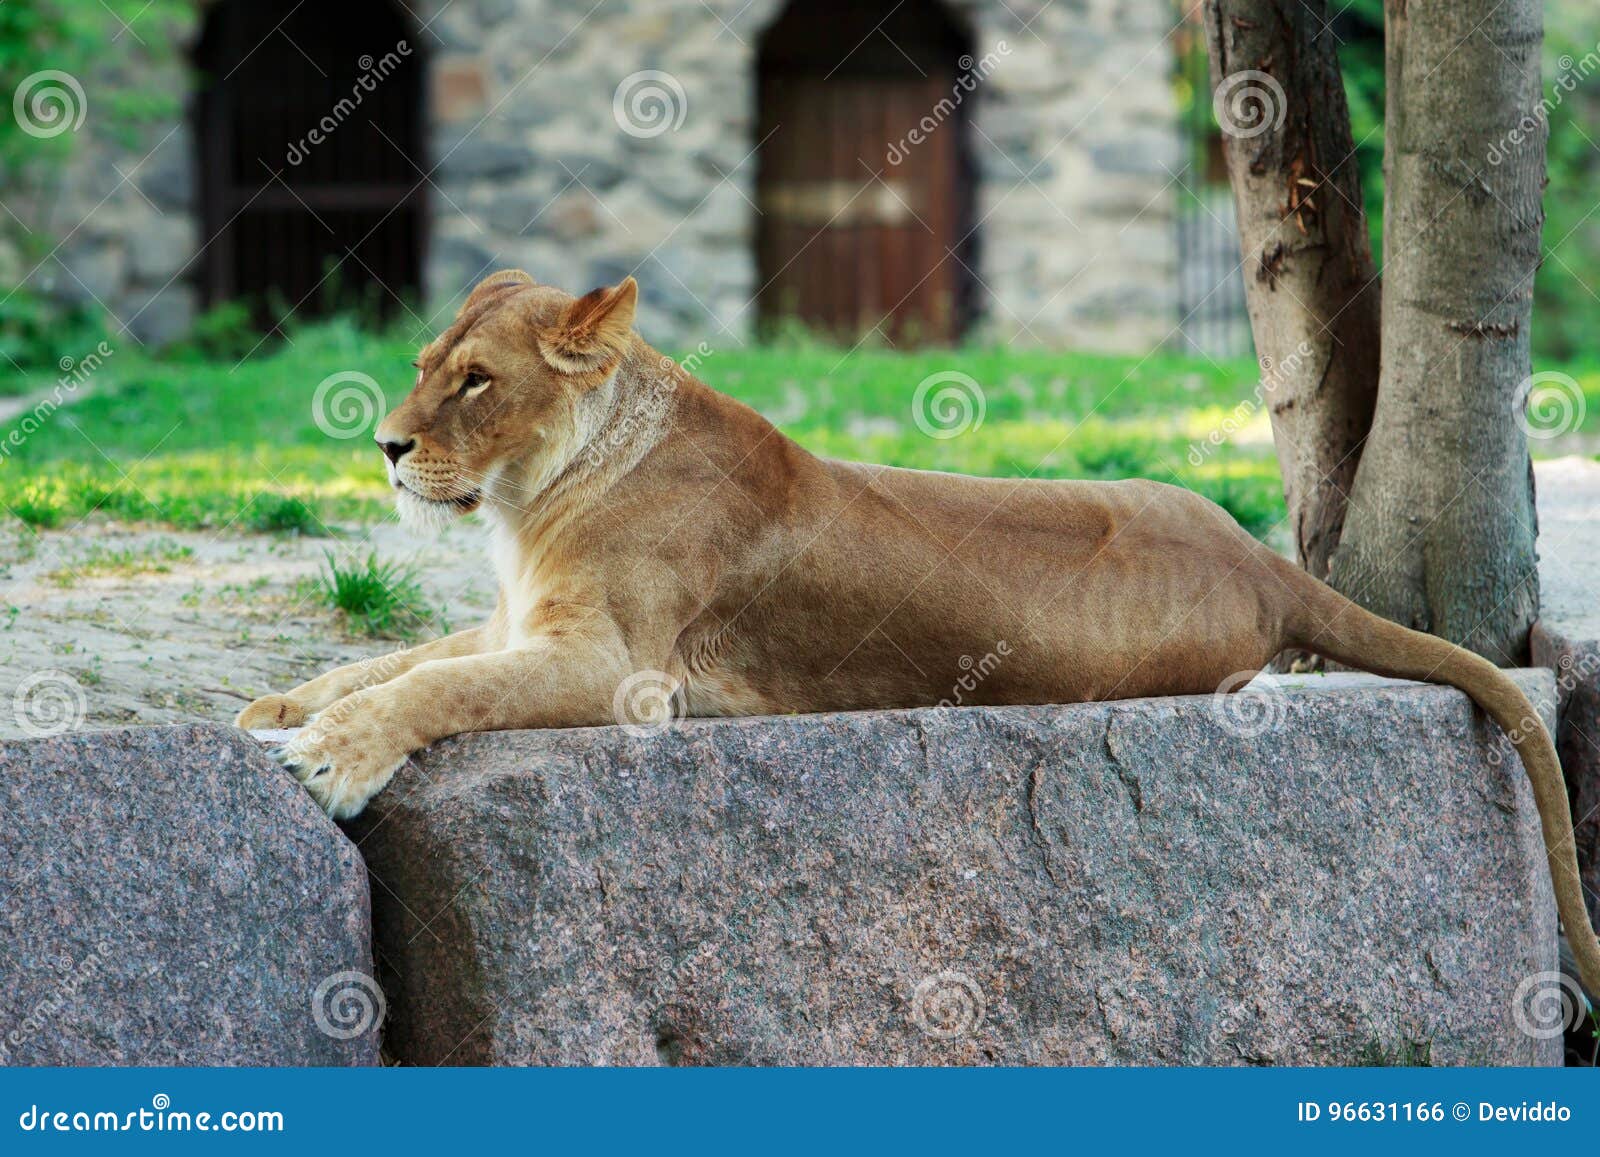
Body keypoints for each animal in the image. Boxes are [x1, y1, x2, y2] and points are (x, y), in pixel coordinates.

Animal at [238, 269, 1600, 996]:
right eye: (426, 362)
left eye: (476, 379)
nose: (386, 446)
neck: (529, 503)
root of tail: (1259, 557)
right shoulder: (515, 619)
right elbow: (394, 657)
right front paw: (282, 706)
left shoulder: (619, 668)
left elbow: (439, 691)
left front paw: (333, 753)